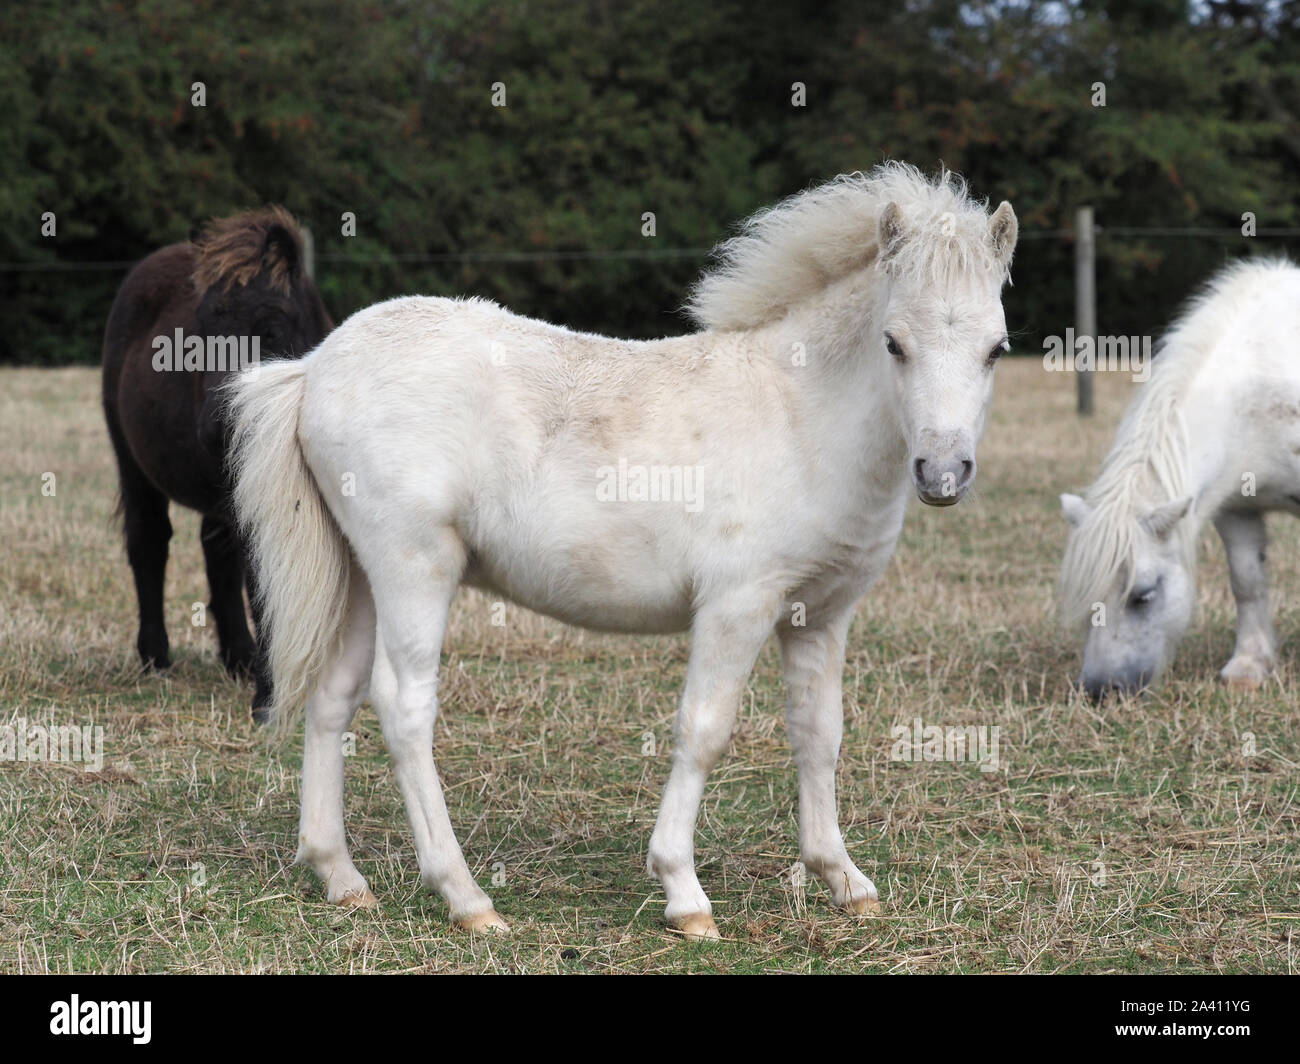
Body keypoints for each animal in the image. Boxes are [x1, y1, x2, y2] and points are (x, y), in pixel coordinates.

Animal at [101, 207, 332, 715]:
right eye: (198, 338)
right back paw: (156, 657)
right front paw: (267, 700)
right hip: (133, 464)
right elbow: (262, 588)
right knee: (149, 543)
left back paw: (238, 658)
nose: (217, 429)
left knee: (217, 554)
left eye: (270, 329)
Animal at [227, 163, 1018, 938]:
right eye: (893, 342)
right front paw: (684, 892)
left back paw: (340, 877)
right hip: (414, 566)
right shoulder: (736, 605)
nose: (942, 474)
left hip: (362, 575)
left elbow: (818, 735)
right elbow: (704, 731)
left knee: (333, 697)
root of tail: (314, 368)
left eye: (996, 349)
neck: (800, 414)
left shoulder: (822, 614)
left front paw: (843, 881)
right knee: (402, 707)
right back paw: (466, 897)